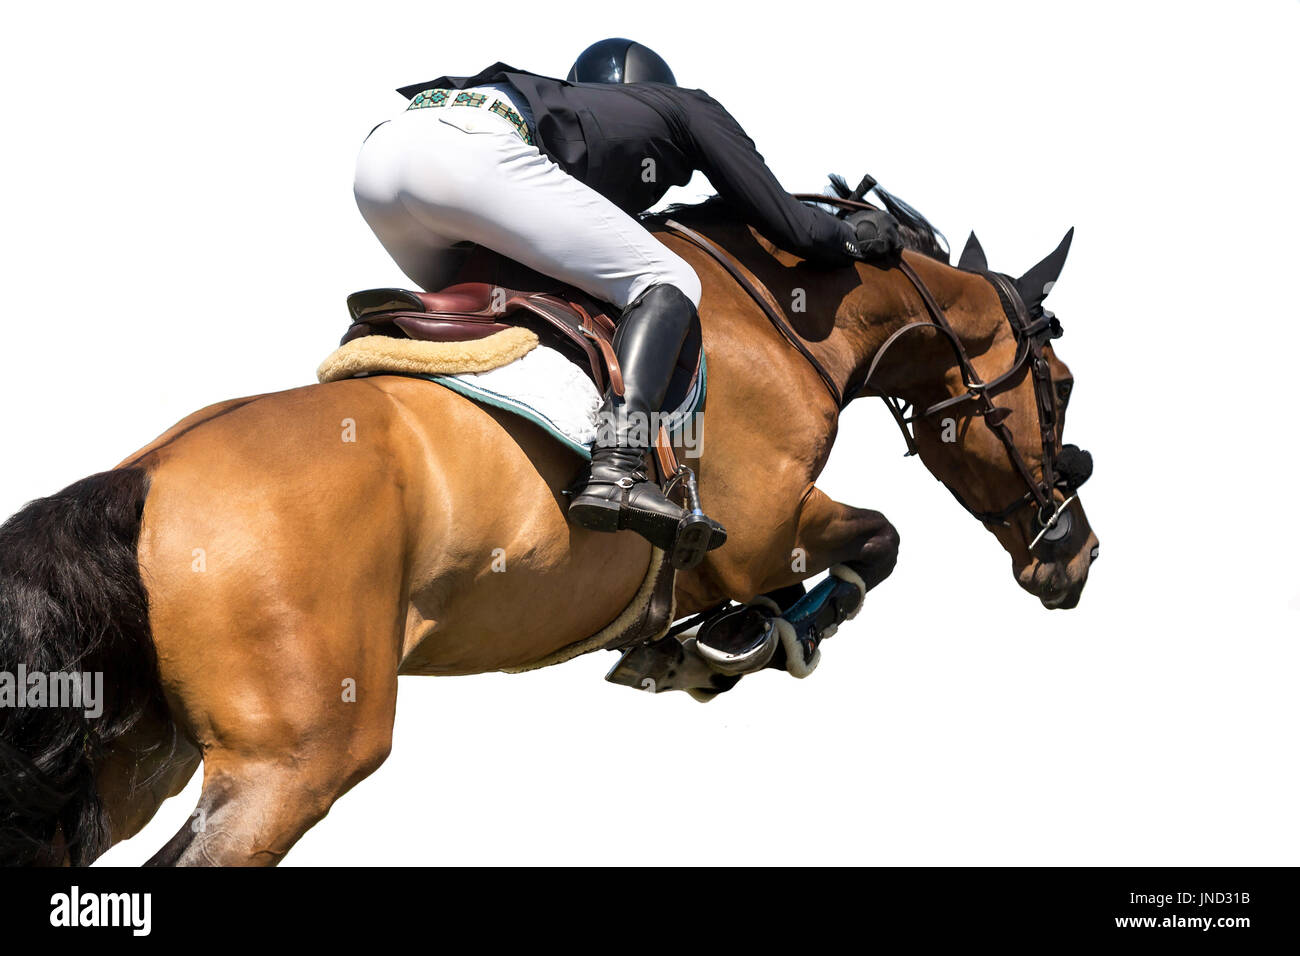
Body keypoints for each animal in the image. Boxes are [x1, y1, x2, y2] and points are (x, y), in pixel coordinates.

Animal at [0, 188, 1098, 865]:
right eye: (1060, 385)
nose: (1074, 556)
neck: (783, 316)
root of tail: (145, 476)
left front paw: (696, 643)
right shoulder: (762, 526)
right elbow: (877, 542)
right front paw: (742, 640)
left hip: (138, 761)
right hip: (293, 762)